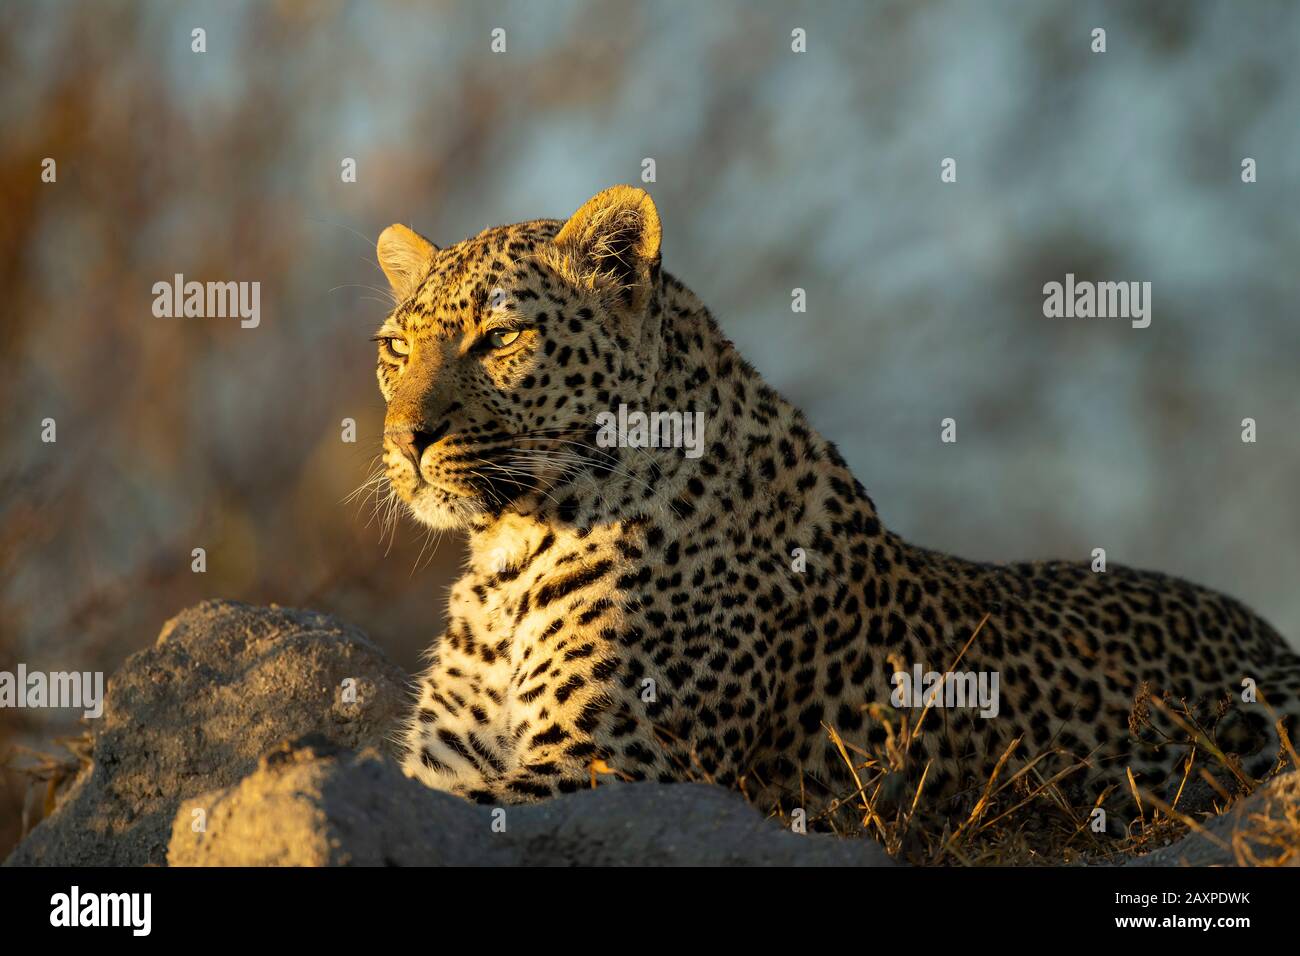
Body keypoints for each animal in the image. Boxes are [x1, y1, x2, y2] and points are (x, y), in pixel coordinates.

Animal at [370, 184, 1300, 832]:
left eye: (500, 338)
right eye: (395, 349)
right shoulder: (445, 761)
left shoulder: (613, 766)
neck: (510, 554)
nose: (407, 439)